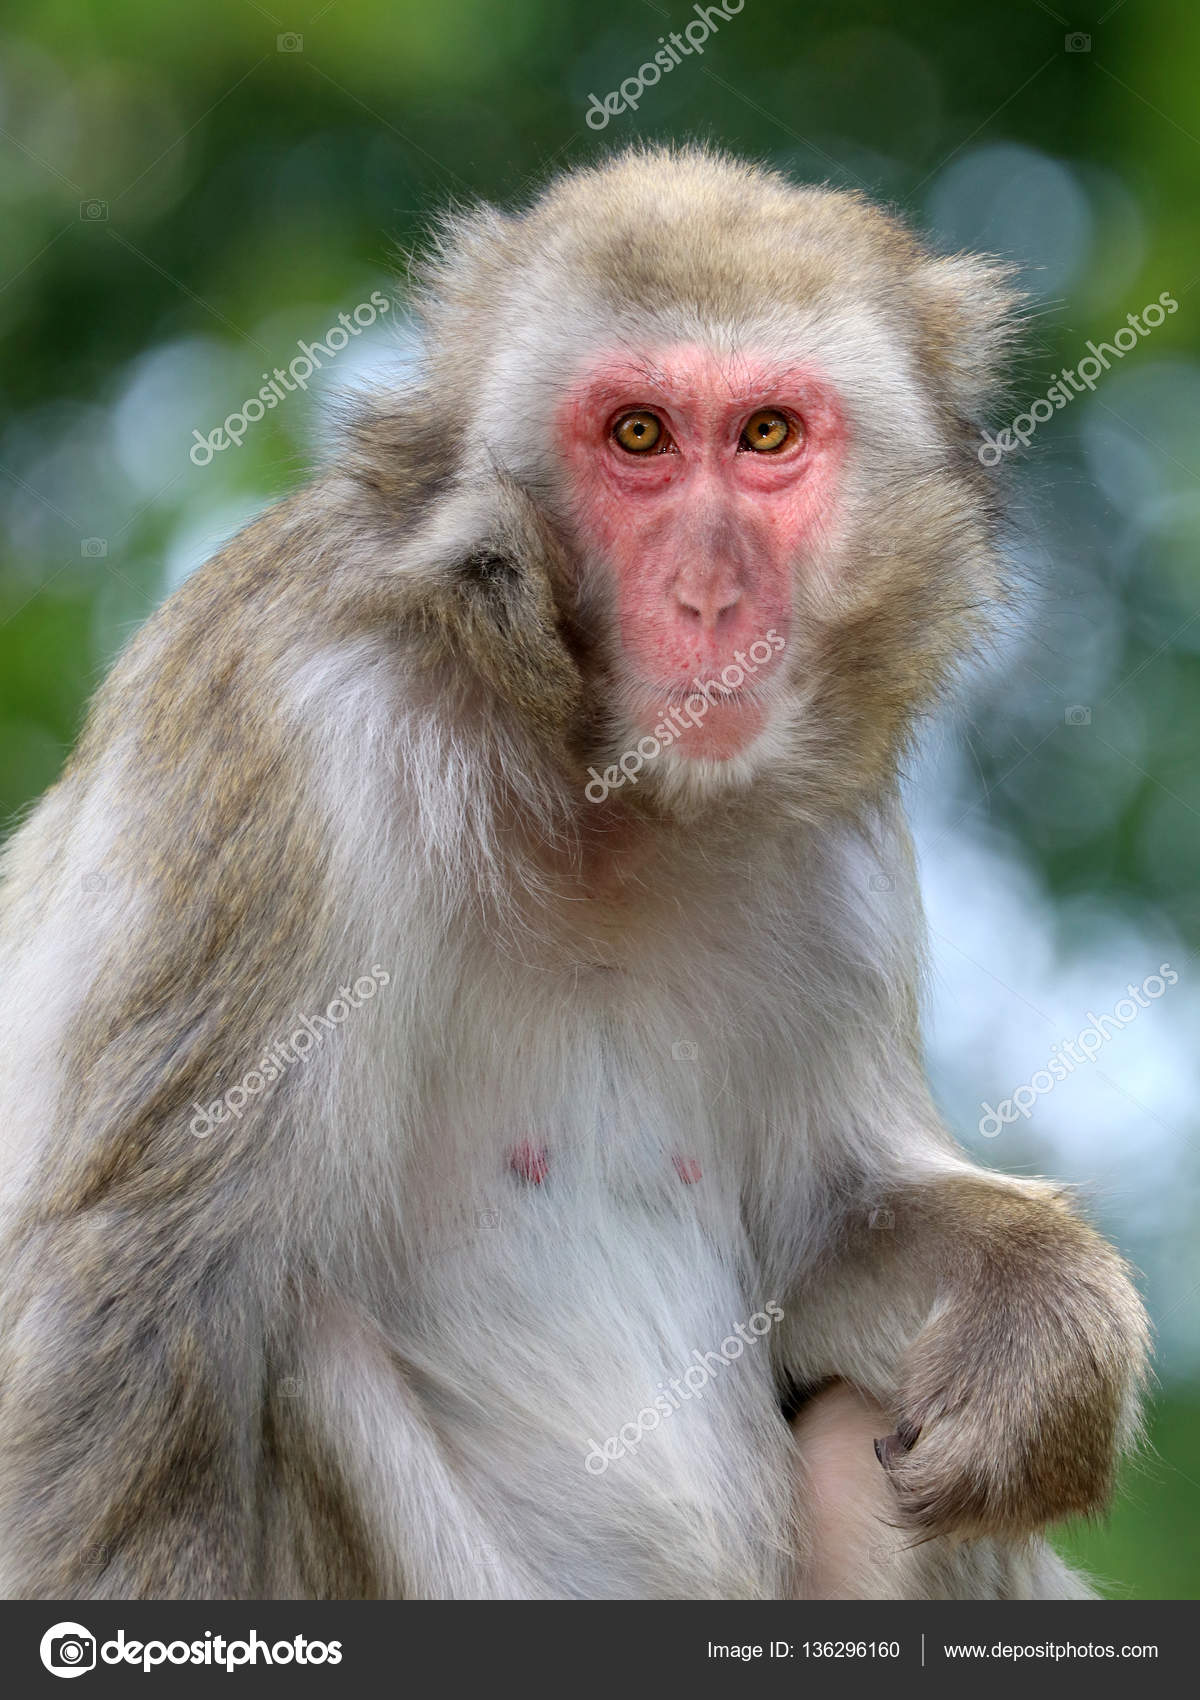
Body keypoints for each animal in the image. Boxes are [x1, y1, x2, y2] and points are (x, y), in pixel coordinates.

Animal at [0, 144, 1148, 1601]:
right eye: (639, 437)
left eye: (767, 436)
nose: (711, 597)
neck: (599, 795)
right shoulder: (291, 718)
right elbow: (134, 1305)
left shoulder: (838, 861)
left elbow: (823, 1239)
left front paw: (1045, 1329)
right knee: (295, 1354)